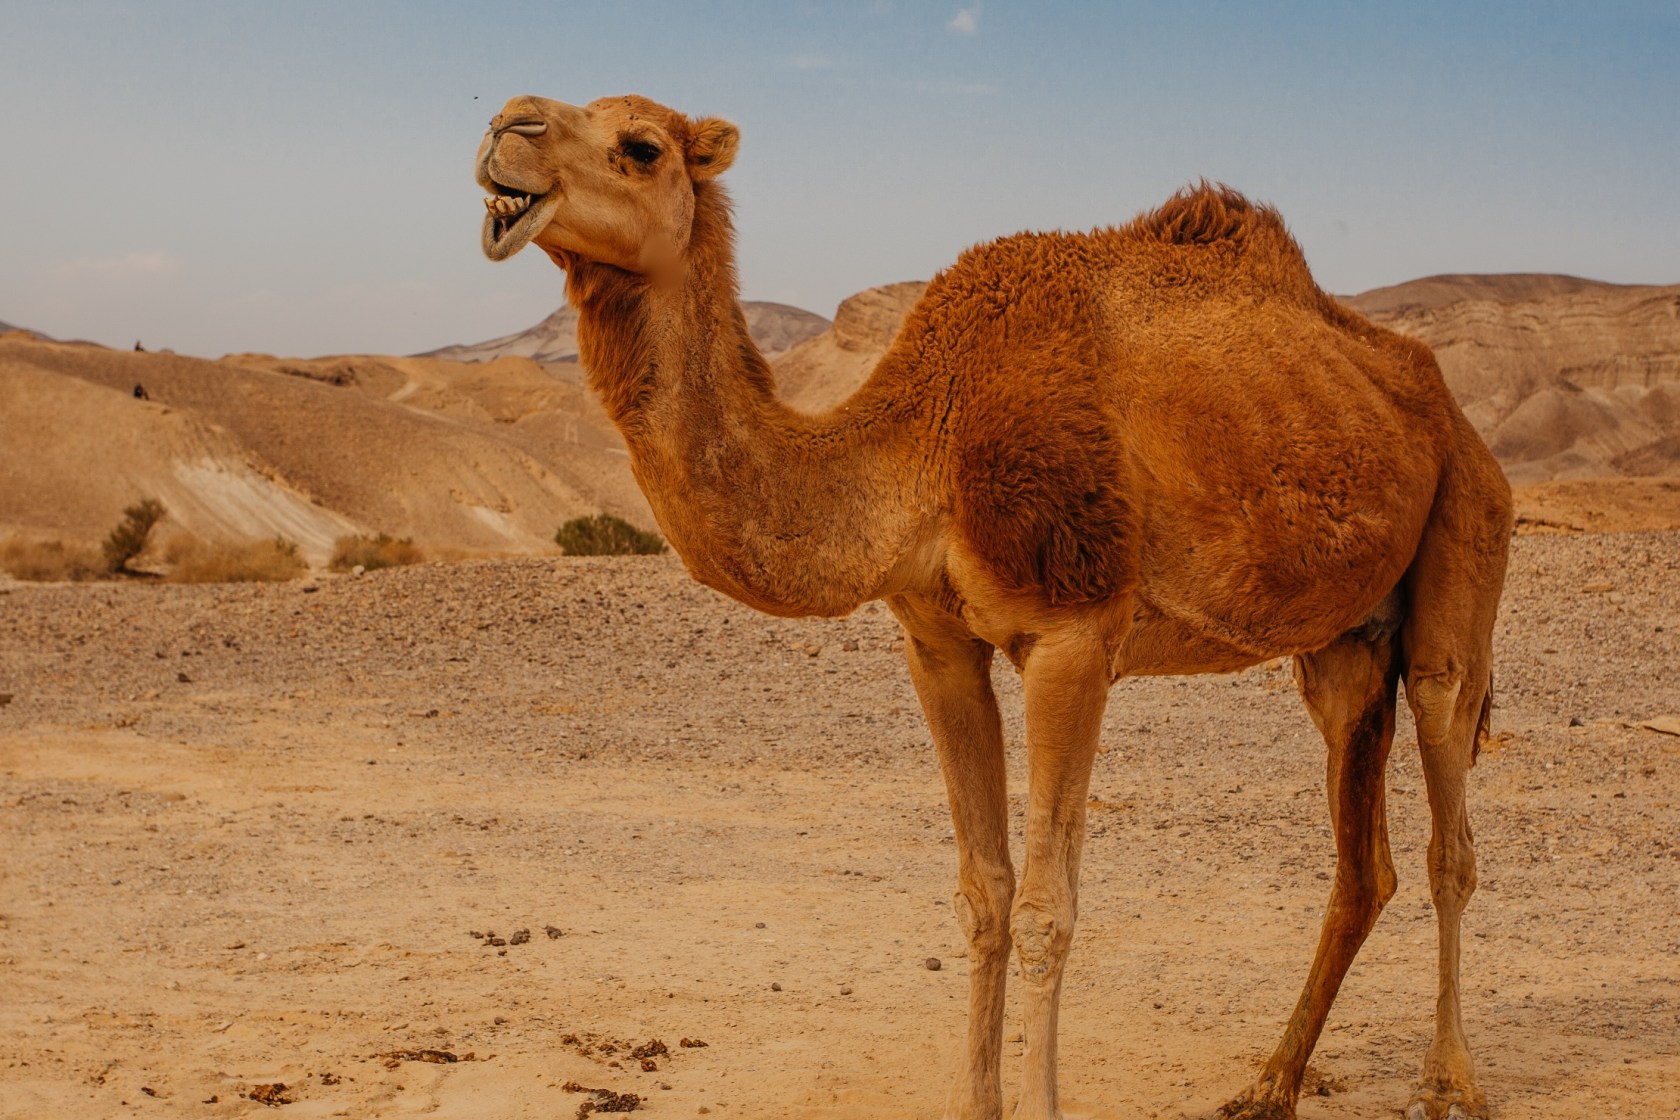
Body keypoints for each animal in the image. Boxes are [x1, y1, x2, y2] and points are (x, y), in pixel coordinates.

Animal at [474, 94, 1512, 1120]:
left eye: (641, 146)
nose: (504, 128)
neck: (925, 448)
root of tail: (1442, 404)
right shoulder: (937, 642)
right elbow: (983, 892)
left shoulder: (1075, 630)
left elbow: (1048, 905)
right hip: (1343, 645)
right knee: (1361, 859)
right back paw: (1270, 1083)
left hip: (1465, 530)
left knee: (1448, 821)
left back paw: (1449, 1082)